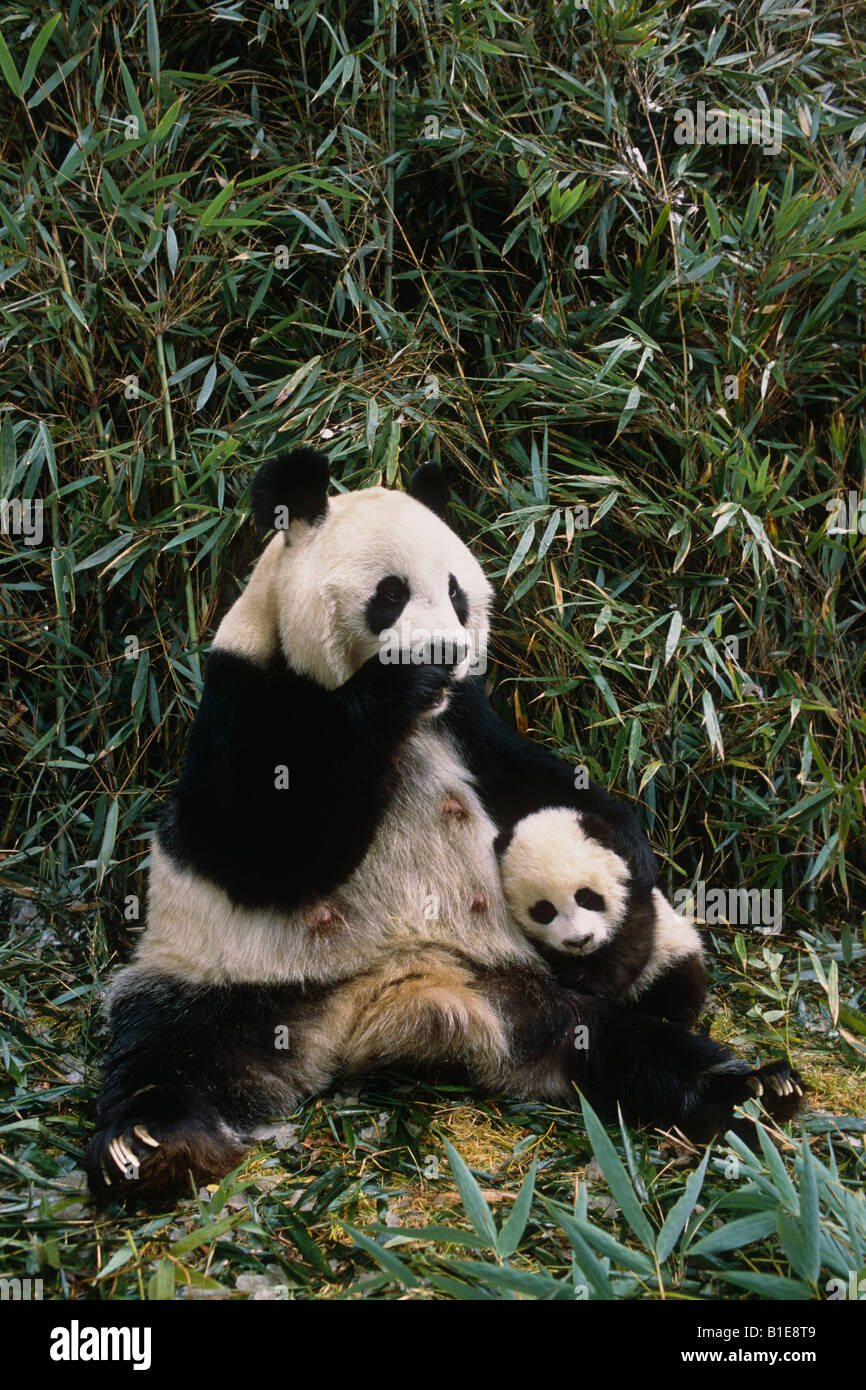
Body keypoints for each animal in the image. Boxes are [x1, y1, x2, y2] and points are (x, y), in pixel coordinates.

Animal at [497, 807, 707, 1028]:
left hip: (667, 956)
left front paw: (588, 982)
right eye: (544, 910)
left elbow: (631, 943)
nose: (580, 941)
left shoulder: (634, 892)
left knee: (678, 983)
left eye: (585, 897)